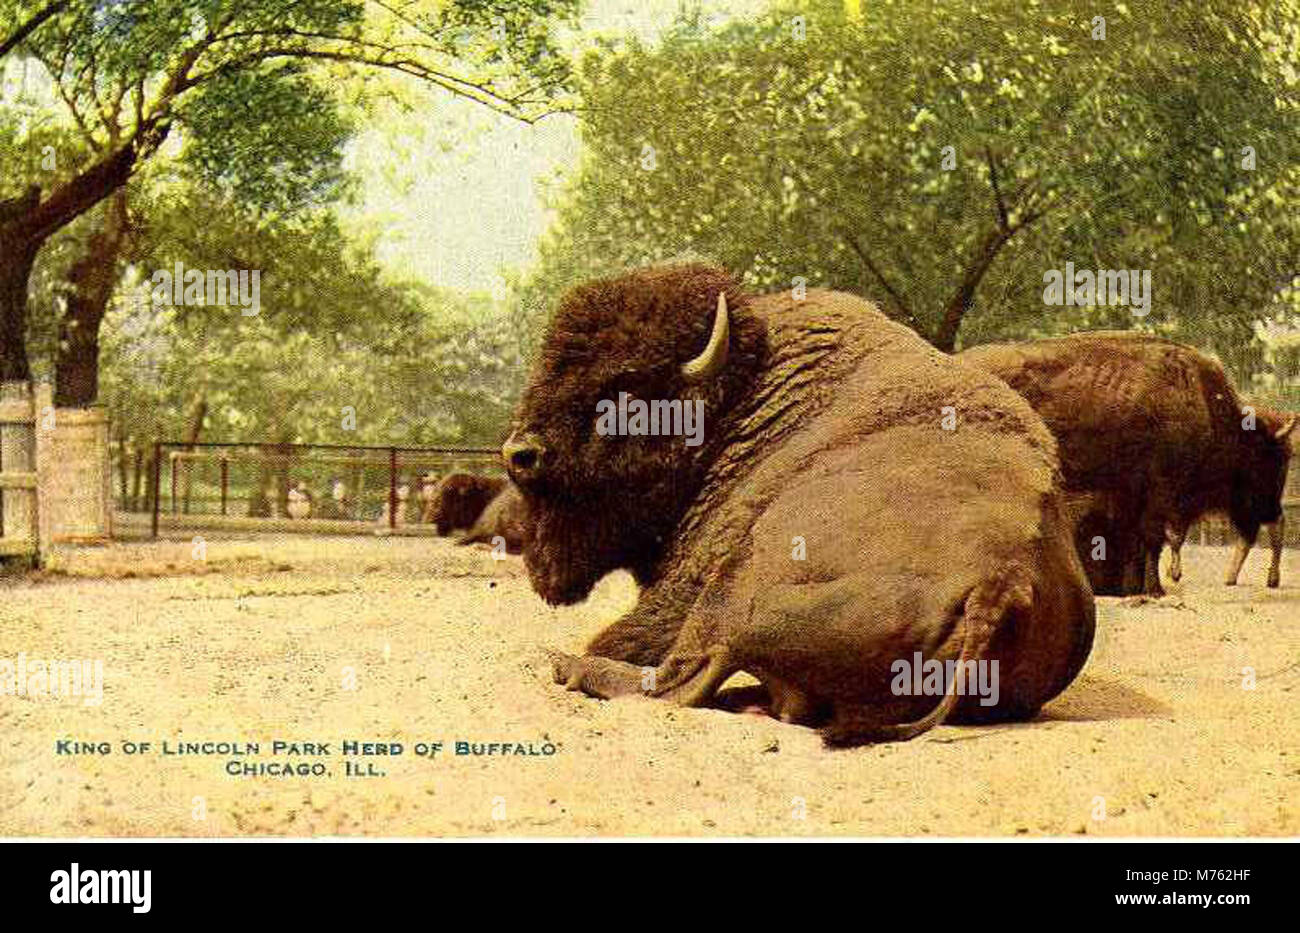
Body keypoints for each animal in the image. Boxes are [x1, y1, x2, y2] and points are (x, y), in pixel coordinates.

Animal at [504, 263, 1095, 746]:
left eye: (623, 390)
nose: (519, 454)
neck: (739, 400)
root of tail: (999, 582)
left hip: (736, 590)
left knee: (679, 679)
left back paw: (568, 666)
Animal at [960, 333, 1295, 595]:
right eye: (1272, 458)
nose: (1272, 511)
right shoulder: (1161, 490)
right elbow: (1154, 537)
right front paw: (1155, 589)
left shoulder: (1130, 492)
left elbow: (1139, 539)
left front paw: (1137, 587)